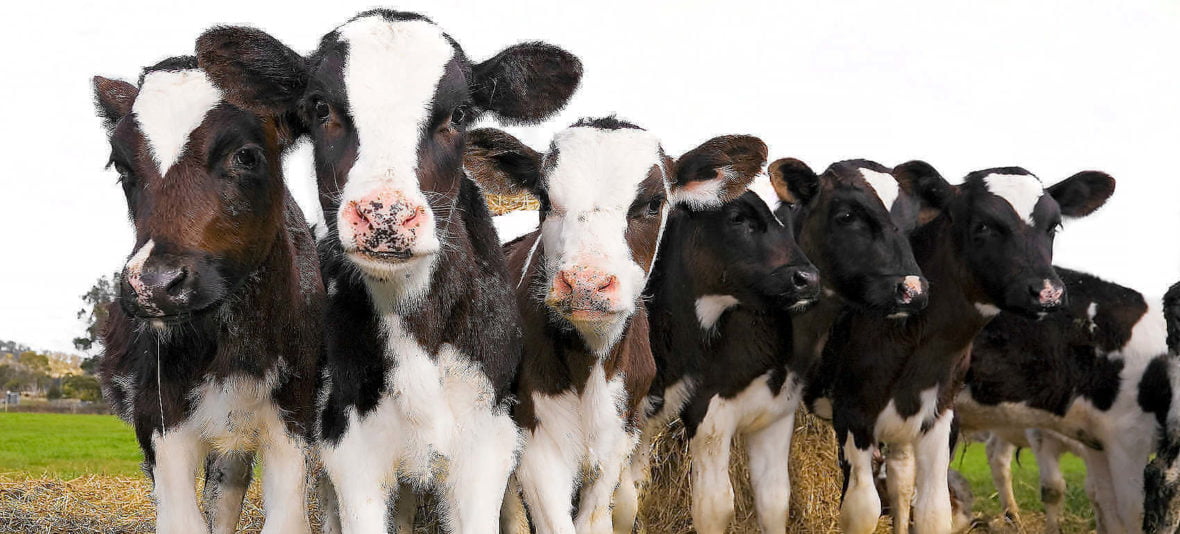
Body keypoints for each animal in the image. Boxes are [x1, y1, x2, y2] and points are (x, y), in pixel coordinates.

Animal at [93, 55, 324, 534]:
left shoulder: (296, 417)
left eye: (246, 155)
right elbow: (182, 519)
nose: (154, 284)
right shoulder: (158, 416)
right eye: (121, 166)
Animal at [194, 10, 583, 532]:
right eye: (320, 107)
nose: (385, 215)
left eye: (460, 114)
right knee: (227, 488)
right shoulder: (350, 447)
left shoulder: (487, 444)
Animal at [465, 118, 766, 534]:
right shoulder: (537, 446)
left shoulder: (619, 438)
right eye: (544, 198)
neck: (591, 367)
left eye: (653, 203)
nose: (586, 282)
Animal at [798, 163, 1115, 534]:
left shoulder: (939, 411)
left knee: (901, 477)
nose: (1048, 293)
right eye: (983, 226)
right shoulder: (853, 412)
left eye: (1054, 226)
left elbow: (933, 511)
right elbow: (862, 510)